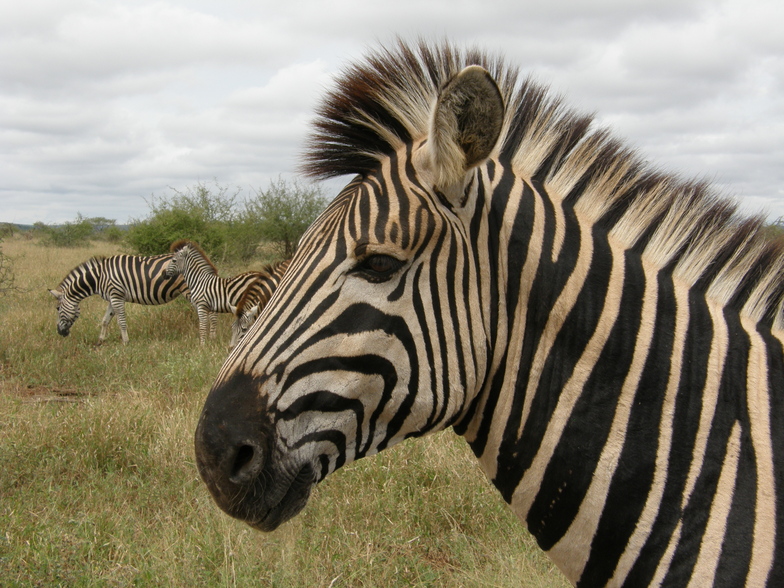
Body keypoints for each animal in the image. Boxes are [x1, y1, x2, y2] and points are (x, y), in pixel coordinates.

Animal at [50, 253, 188, 344]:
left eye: (57, 308)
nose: (60, 332)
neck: (99, 277)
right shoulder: (112, 298)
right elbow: (105, 320)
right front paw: (100, 341)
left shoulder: (117, 297)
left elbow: (121, 321)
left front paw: (126, 342)